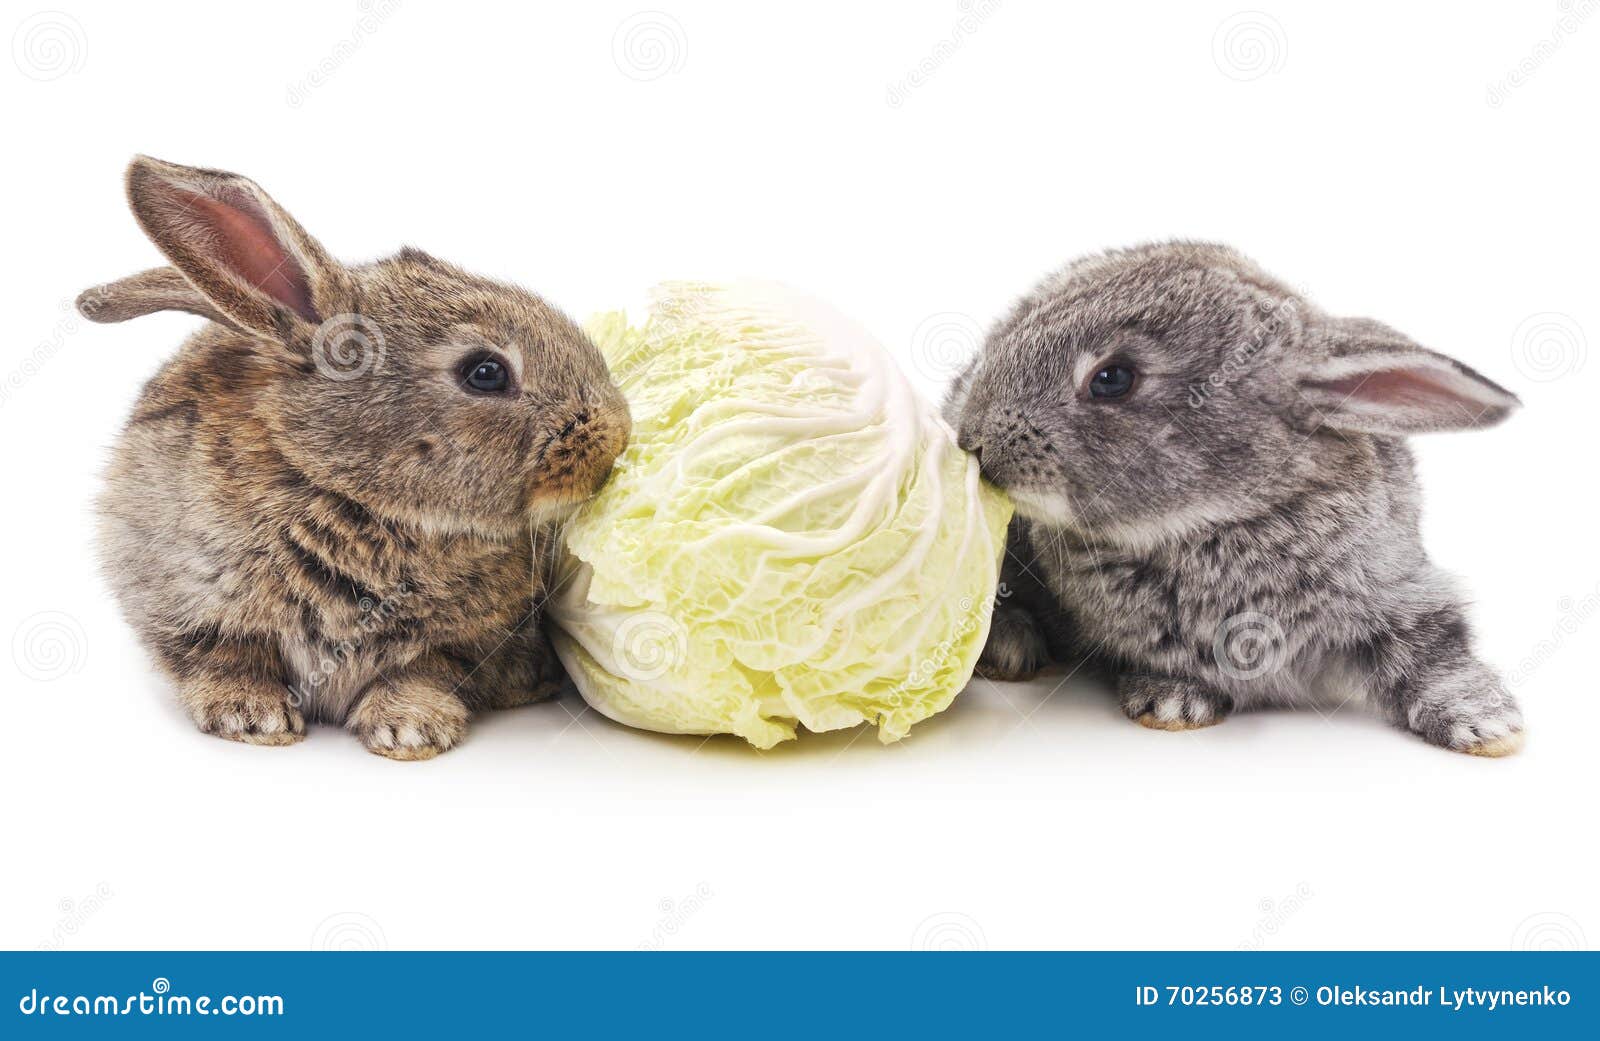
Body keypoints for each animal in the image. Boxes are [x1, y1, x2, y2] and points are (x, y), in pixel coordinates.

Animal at [78, 156, 631, 760]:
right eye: (485, 372)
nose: (616, 436)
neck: (345, 489)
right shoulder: (191, 606)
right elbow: (225, 658)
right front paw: (252, 717)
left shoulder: (460, 643)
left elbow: (422, 672)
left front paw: (411, 728)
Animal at [944, 241, 1525, 756]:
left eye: (1113, 378)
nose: (974, 438)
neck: (1224, 518)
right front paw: (1174, 705)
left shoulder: (1396, 591)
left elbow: (1433, 656)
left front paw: (1488, 725)